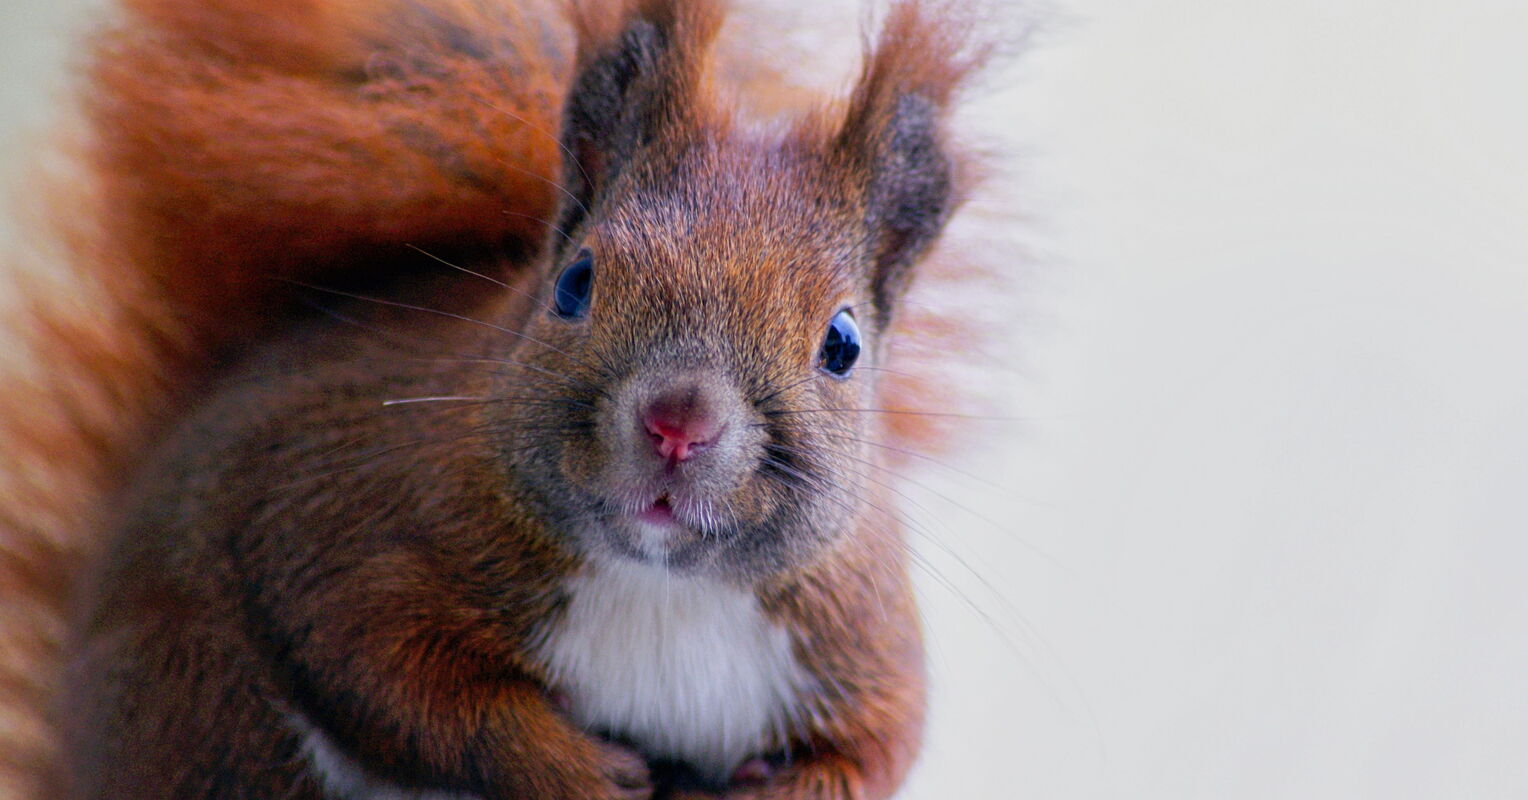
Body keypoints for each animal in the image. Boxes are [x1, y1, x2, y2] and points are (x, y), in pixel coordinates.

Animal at [0, 0, 994, 797]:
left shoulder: (859, 653)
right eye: (576, 283)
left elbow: (870, 755)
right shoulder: (345, 533)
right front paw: (579, 770)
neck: (657, 584)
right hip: (202, 711)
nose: (677, 424)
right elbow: (400, 681)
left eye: (843, 344)